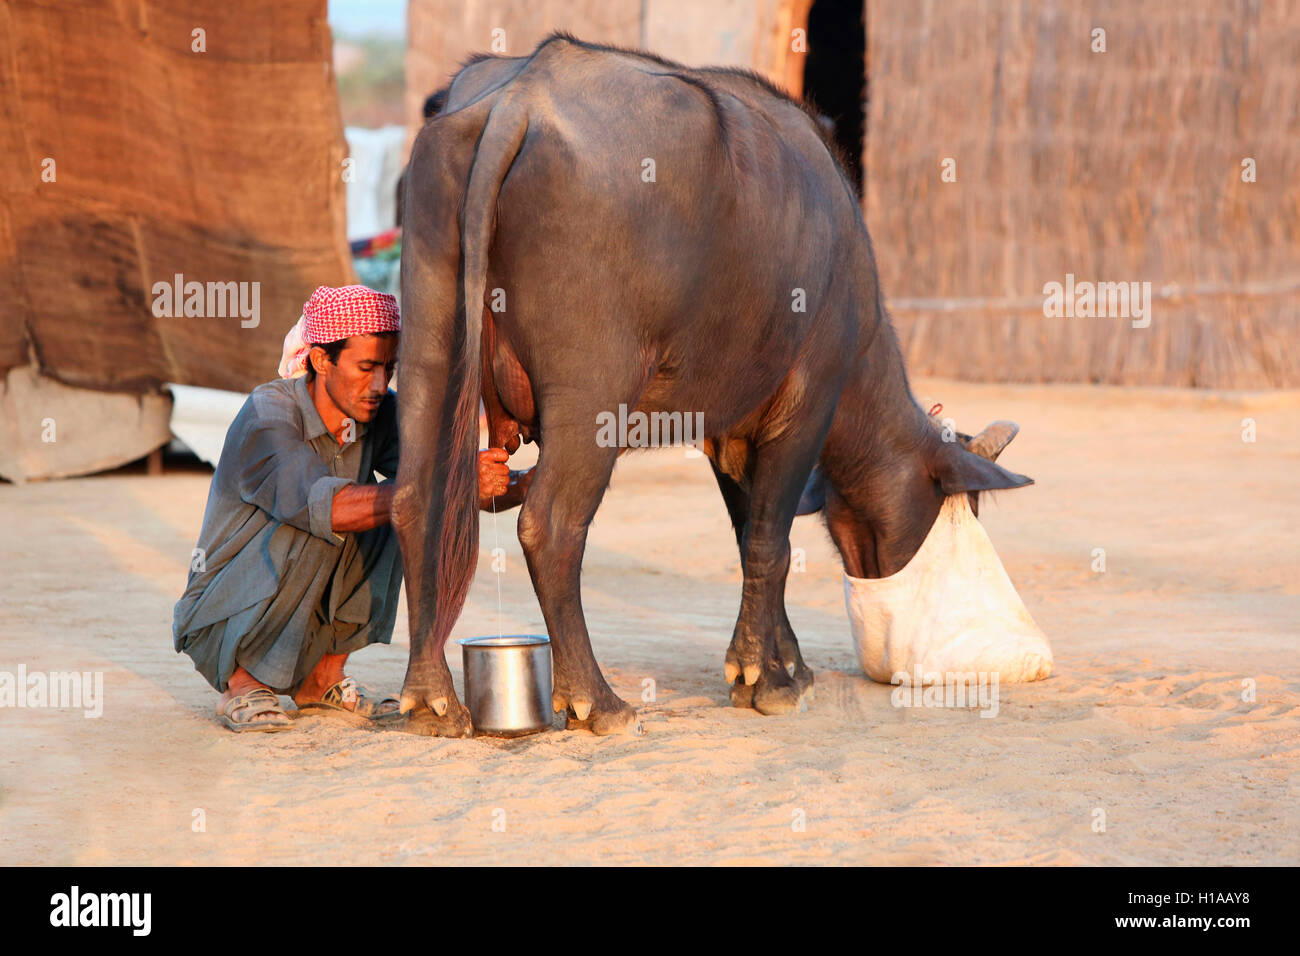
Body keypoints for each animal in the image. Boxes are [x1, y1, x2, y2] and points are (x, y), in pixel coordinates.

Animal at [393, 33, 1040, 737]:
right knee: (551, 526)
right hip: (592, 399)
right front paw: (766, 679)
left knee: (415, 502)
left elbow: (751, 535)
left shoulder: (727, 434)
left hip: (428, 351)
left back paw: (431, 697)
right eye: (961, 504)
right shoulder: (805, 407)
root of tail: (520, 98)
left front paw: (784, 664)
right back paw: (597, 699)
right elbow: (771, 542)